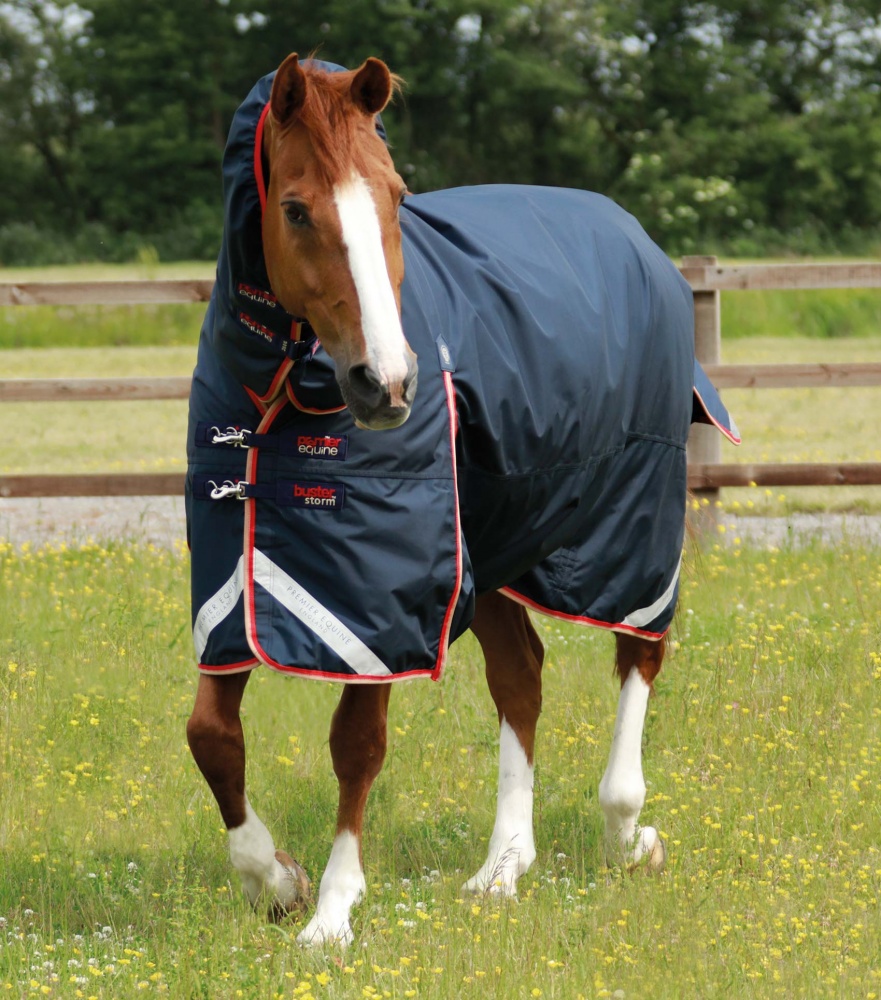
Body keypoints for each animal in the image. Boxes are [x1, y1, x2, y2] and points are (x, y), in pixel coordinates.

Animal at [184, 53, 737, 947]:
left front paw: (332, 911)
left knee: (639, 652)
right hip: (492, 543)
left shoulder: (380, 596)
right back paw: (503, 868)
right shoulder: (239, 585)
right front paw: (276, 882)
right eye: (294, 208)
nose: (387, 382)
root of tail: (635, 239)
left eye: (395, 194)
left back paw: (627, 832)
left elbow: (356, 743)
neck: (280, 397)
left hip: (634, 524)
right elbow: (212, 736)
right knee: (521, 677)